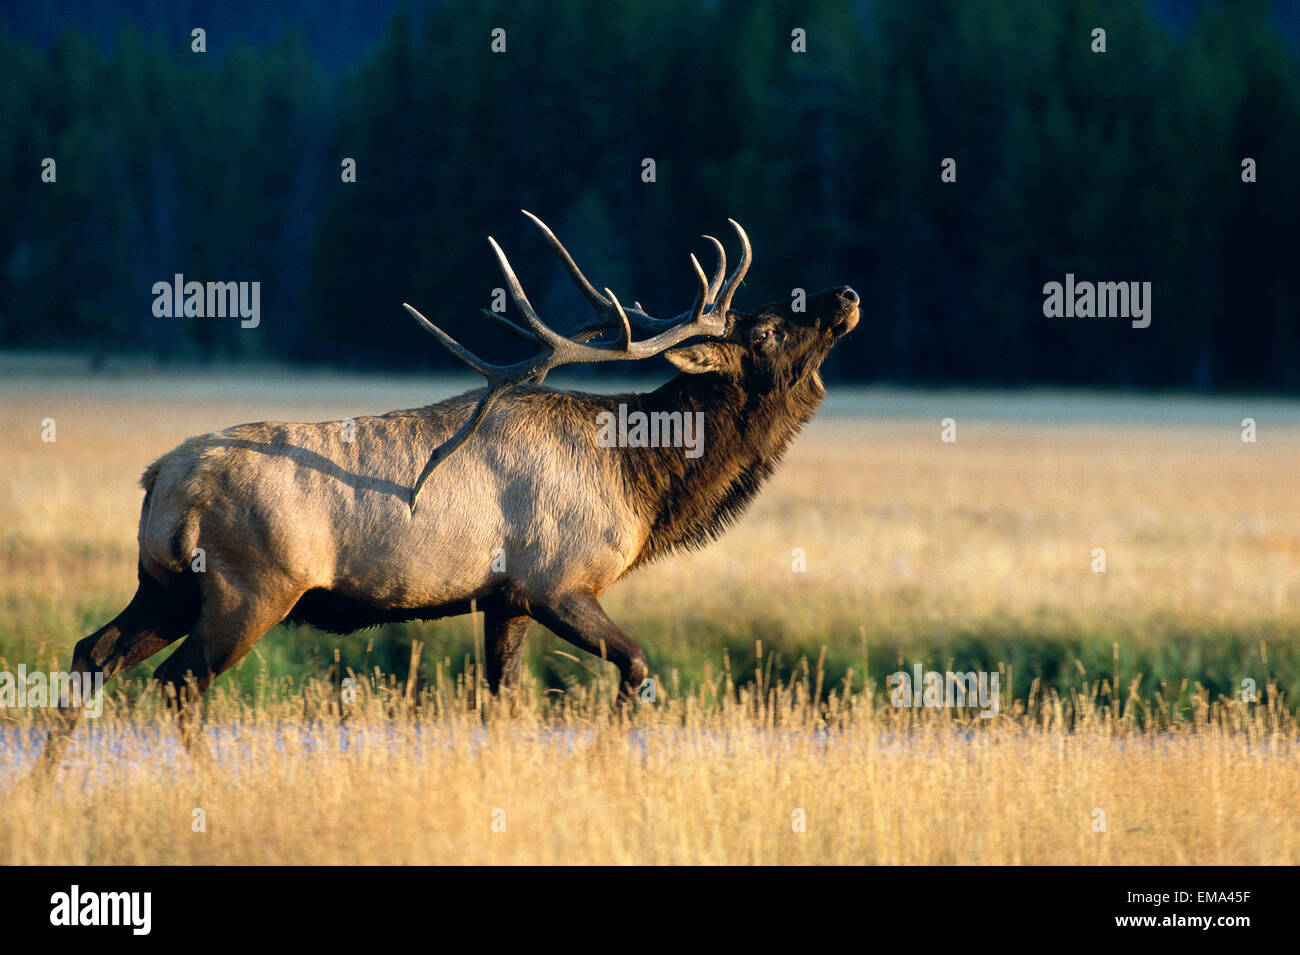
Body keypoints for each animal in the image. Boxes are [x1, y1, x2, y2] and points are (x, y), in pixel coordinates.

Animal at [33, 211, 858, 776]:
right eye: (765, 332)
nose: (846, 292)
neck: (640, 479)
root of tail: (158, 481)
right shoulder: (557, 582)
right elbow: (636, 666)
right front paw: (597, 762)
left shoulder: (504, 597)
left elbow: (504, 703)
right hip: (249, 587)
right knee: (178, 684)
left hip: (165, 584)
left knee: (92, 652)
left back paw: (44, 783)